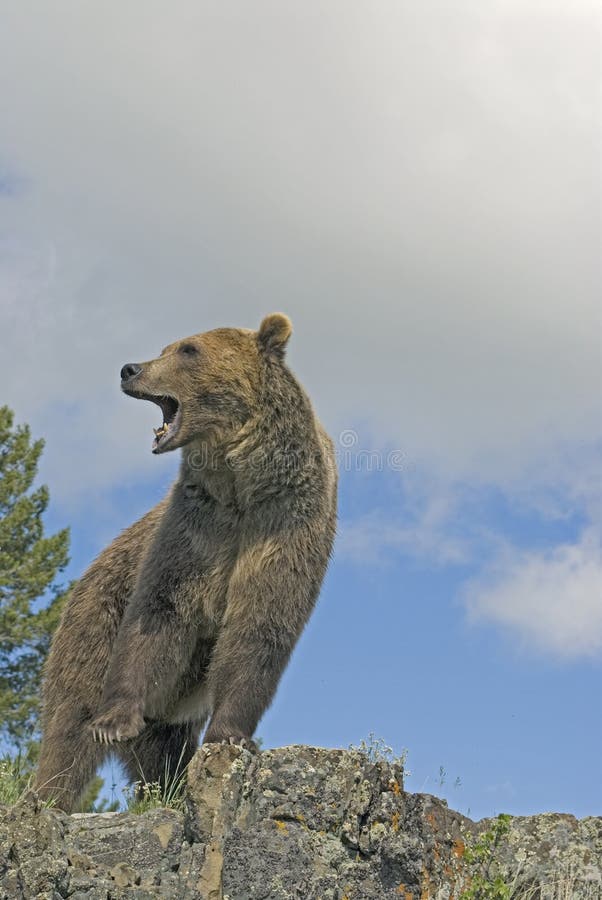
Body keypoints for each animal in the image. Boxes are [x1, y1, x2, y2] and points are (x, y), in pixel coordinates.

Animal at [35, 314, 337, 812]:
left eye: (189, 350)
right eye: (167, 346)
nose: (130, 369)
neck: (239, 483)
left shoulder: (285, 522)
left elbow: (260, 623)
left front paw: (229, 735)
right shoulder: (195, 528)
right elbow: (159, 612)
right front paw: (114, 721)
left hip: (164, 710)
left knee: (161, 753)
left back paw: (169, 788)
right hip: (95, 620)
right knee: (69, 728)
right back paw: (46, 800)